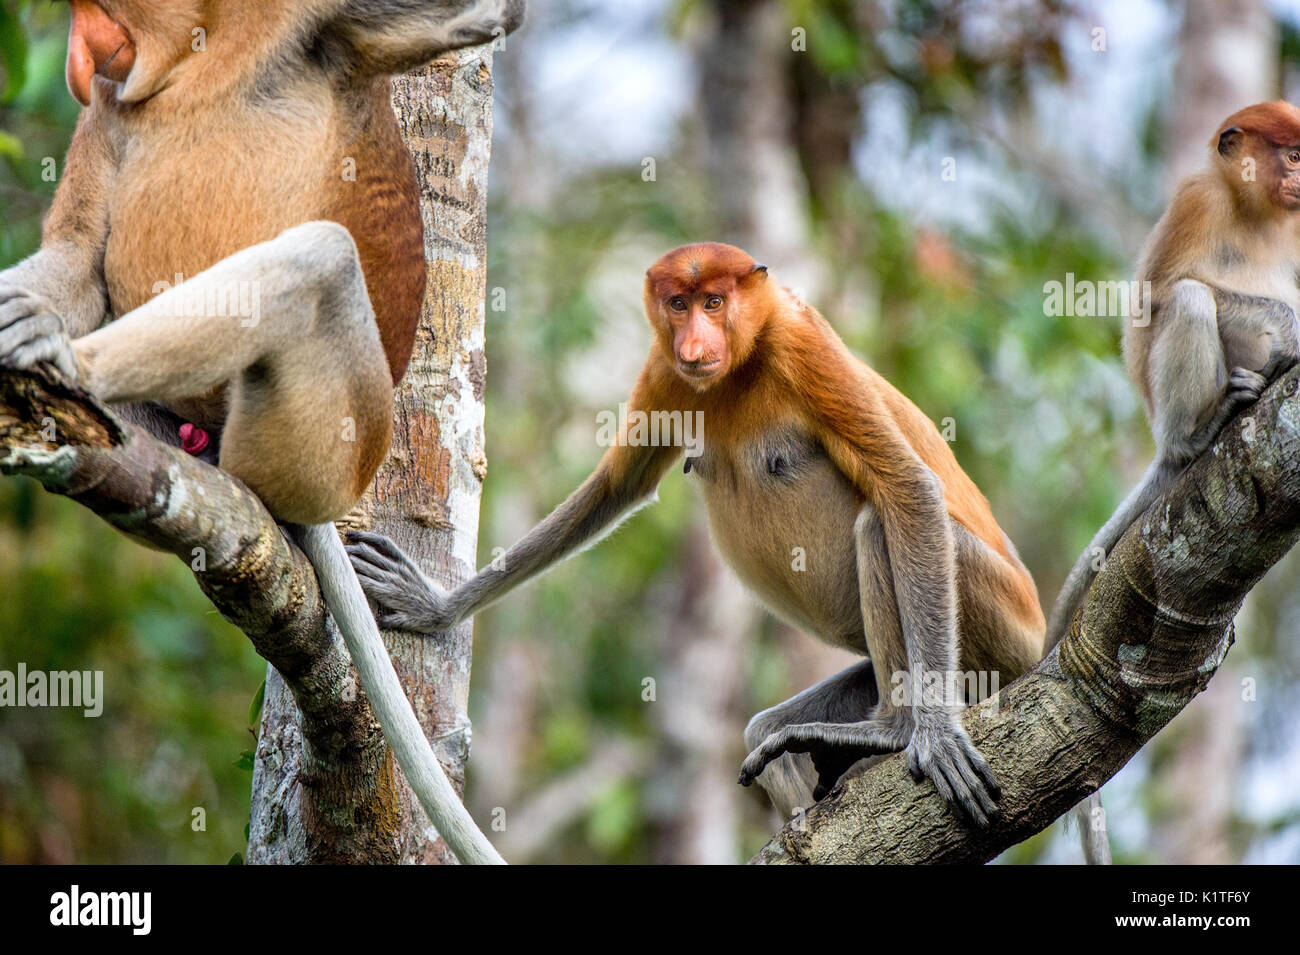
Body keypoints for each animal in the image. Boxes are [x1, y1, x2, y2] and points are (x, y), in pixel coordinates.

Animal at [0, 0, 525, 865]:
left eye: (92, 15)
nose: (80, 65)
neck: (201, 62)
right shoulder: (109, 108)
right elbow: (78, 259)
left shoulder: (316, 25)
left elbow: (474, 19)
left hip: (328, 445)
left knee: (318, 258)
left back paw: (64, 361)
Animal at [346, 242, 1049, 829]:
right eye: (678, 304)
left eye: (715, 301)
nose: (695, 341)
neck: (743, 364)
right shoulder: (665, 368)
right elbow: (619, 486)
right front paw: (431, 605)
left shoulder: (802, 344)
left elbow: (908, 486)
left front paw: (935, 736)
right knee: (764, 730)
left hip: (996, 620)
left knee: (882, 520)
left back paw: (898, 730)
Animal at [1046, 101, 1300, 651]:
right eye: (1293, 156)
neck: (1256, 212)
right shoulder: (1198, 201)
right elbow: (1159, 294)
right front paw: (1294, 333)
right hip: (1168, 412)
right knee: (1189, 298)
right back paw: (1198, 434)